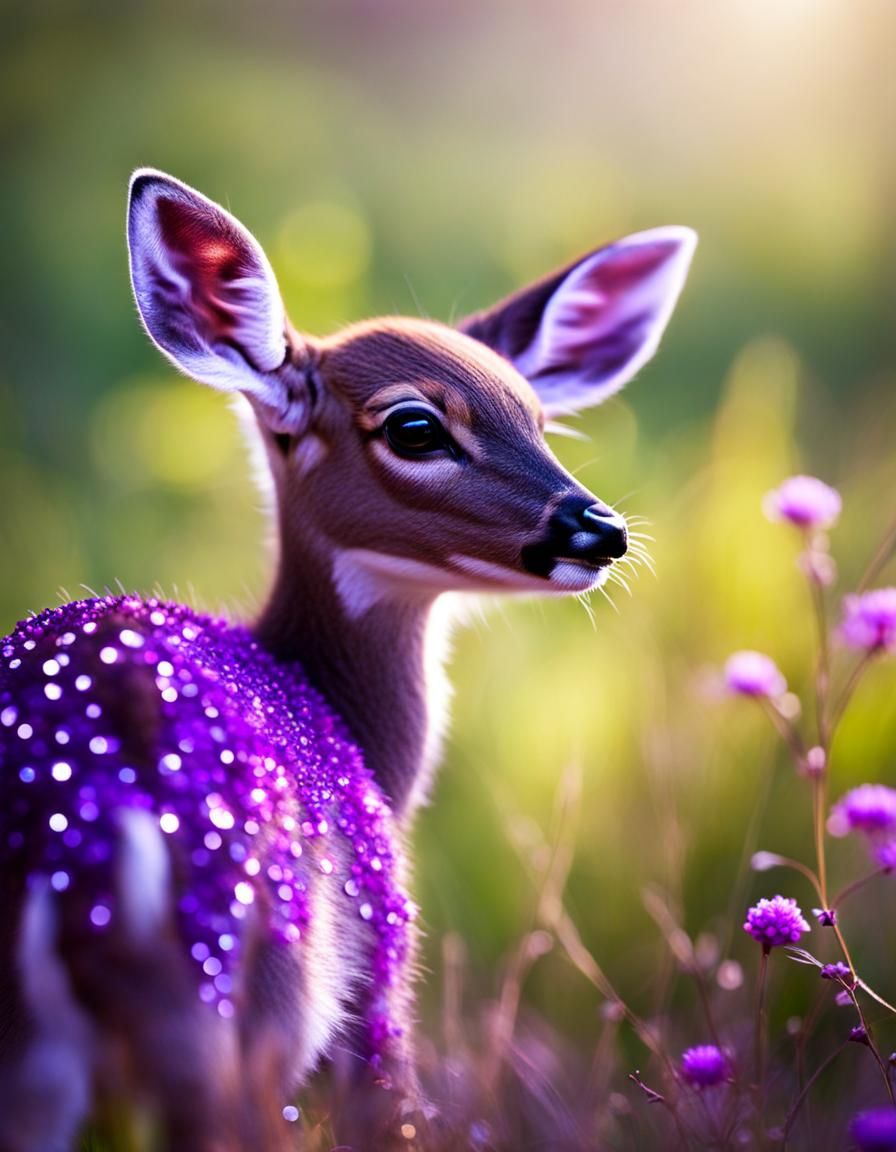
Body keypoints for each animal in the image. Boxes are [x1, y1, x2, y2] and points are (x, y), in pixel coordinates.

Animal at [0, 169, 695, 1151]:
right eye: (415, 427)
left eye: (540, 419)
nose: (598, 529)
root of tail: (76, 837)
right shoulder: (380, 956)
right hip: (251, 990)